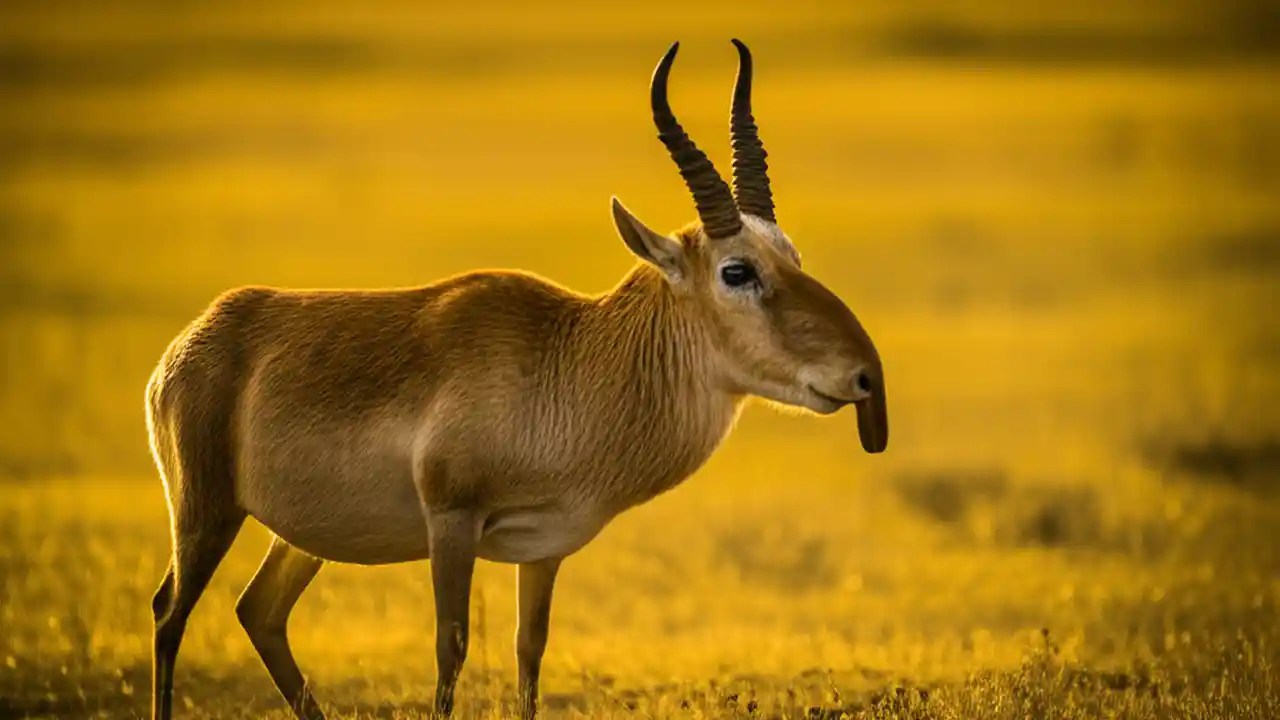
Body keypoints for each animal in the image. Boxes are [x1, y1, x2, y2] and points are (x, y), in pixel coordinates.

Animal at [145, 39, 887, 720]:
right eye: (737, 271)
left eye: (792, 256)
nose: (861, 376)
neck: (570, 362)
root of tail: (196, 337)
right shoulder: (452, 521)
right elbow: (450, 646)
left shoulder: (544, 546)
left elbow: (529, 650)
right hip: (206, 511)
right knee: (168, 612)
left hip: (296, 535)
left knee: (259, 610)